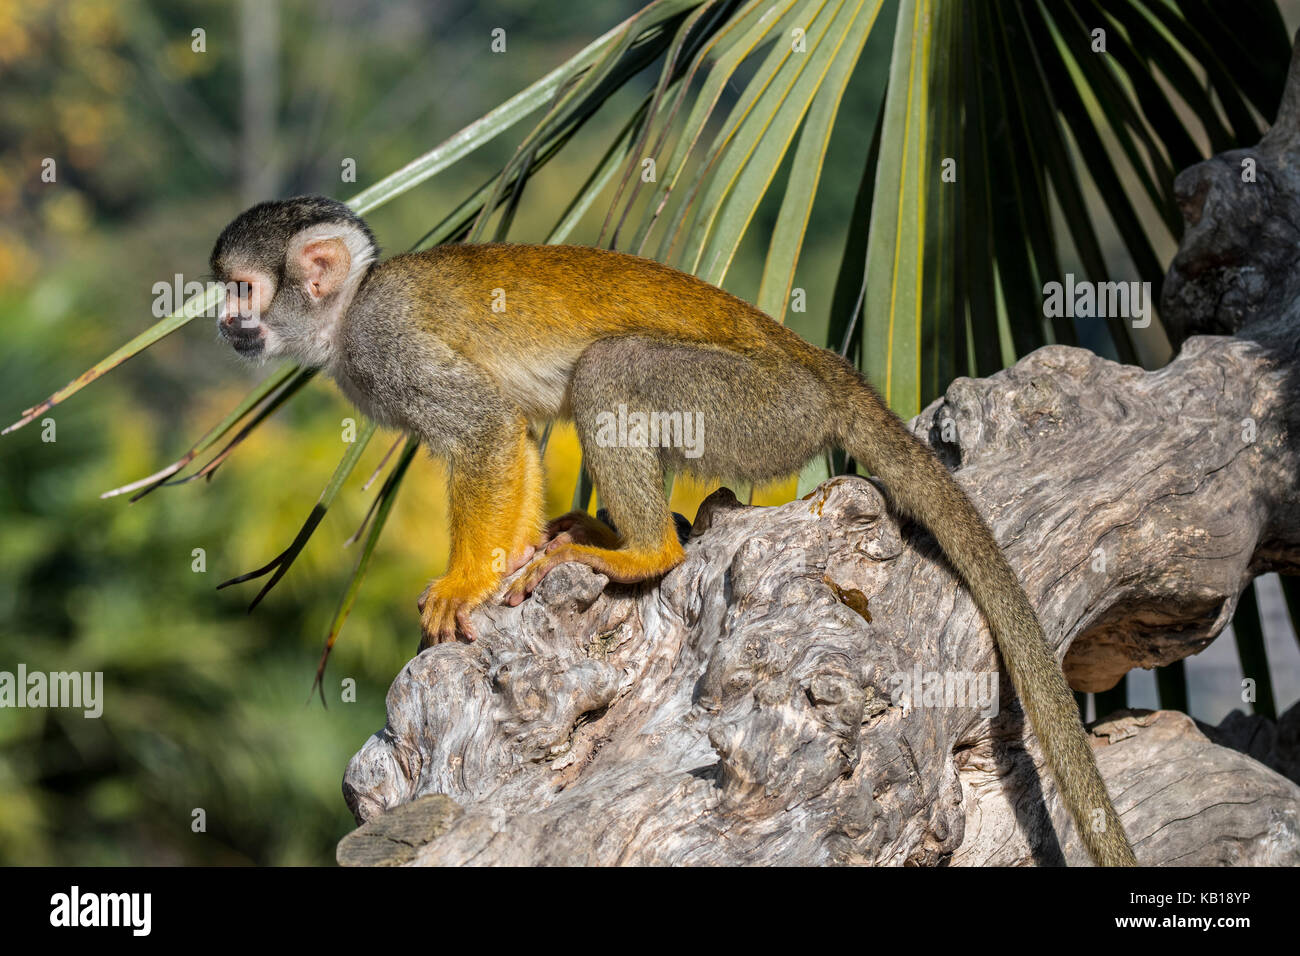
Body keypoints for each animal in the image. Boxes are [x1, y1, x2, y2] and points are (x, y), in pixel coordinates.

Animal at [209, 195, 1137, 867]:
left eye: (241, 289)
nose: (224, 323)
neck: (347, 315)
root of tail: (823, 370)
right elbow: (514, 431)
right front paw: (506, 565)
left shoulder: (388, 341)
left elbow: (483, 428)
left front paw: (465, 587)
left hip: (753, 408)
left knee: (611, 369)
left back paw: (643, 551)